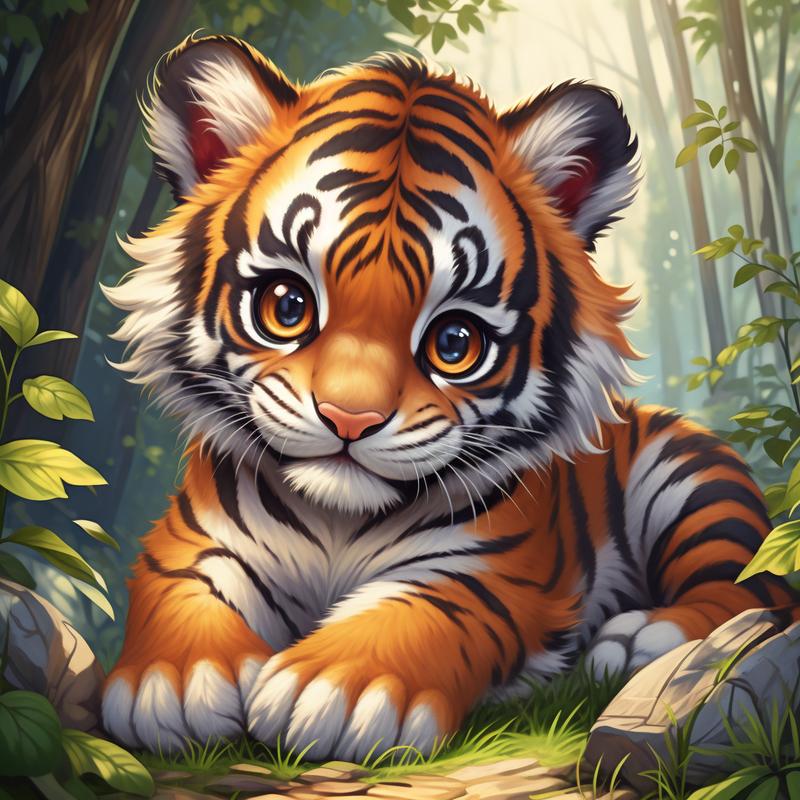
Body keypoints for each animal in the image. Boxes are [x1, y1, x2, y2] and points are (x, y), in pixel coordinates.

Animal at [100, 34, 790, 759]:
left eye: (455, 342)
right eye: (287, 306)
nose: (350, 418)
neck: (337, 519)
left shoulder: (490, 570)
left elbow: (417, 609)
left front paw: (335, 690)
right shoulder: (192, 536)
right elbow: (180, 586)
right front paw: (180, 681)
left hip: (694, 484)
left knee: (753, 589)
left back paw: (640, 640)